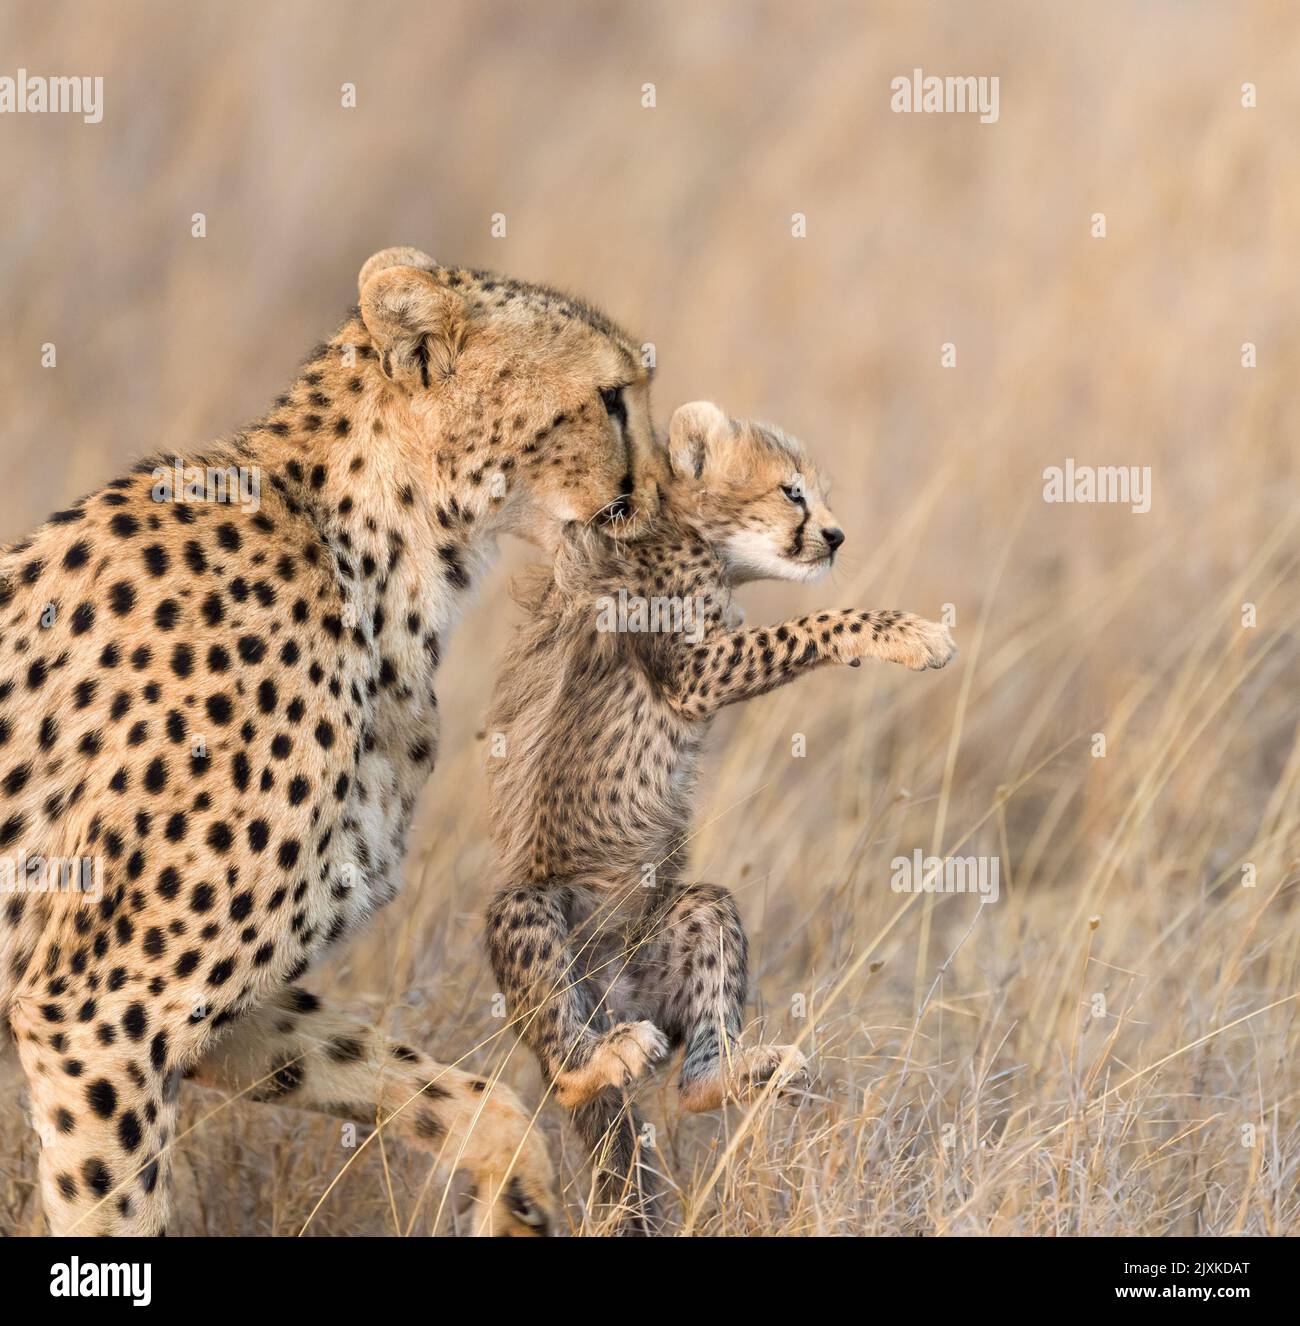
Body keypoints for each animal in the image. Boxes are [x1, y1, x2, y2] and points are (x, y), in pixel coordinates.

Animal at [0, 244, 668, 1237]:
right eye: (613, 398)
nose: (660, 499)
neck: (374, 555)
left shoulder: (208, 1011)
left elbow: (462, 1095)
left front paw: (520, 1193)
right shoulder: (94, 1014)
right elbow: (116, 1216)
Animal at [483, 399, 956, 1232]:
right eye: (792, 492)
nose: (836, 536)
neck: (692, 532)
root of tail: (608, 998)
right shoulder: (691, 669)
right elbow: (811, 625)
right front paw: (905, 634)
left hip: (690, 917)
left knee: (690, 1078)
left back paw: (739, 1070)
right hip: (530, 915)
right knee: (567, 1063)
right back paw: (602, 1058)